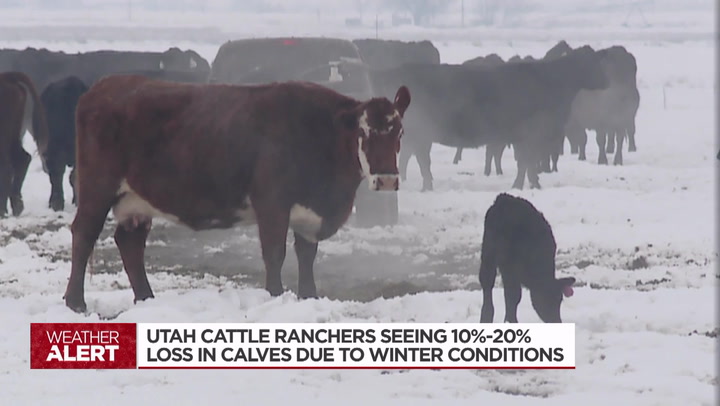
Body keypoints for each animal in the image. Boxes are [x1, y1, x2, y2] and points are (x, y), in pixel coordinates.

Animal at [0, 72, 49, 217]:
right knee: (23, 159)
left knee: (7, 167)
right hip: (14, 137)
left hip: (5, 139)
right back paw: (17, 206)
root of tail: (7, 78)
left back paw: (3, 210)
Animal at [62, 75, 411, 313]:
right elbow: (275, 254)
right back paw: (76, 302)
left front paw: (308, 297)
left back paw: (146, 299)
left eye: (399, 132)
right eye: (363, 132)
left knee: (130, 243)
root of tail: (106, 85)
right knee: (84, 234)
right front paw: (274, 295)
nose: (386, 180)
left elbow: (306, 256)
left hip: (135, 200)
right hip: (98, 188)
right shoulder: (272, 204)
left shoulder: (308, 214)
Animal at [370, 46, 608, 190]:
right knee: (421, 160)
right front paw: (522, 185)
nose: (607, 81)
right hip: (421, 132)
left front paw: (531, 184)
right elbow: (526, 162)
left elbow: (527, 163)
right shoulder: (531, 135)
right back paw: (426, 185)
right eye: (592, 62)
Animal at [479, 193, 576, 323]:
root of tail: (504, 198)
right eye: (546, 300)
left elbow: (512, 296)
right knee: (488, 282)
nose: (557, 321)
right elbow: (514, 296)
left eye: (560, 300)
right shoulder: (512, 268)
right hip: (491, 253)